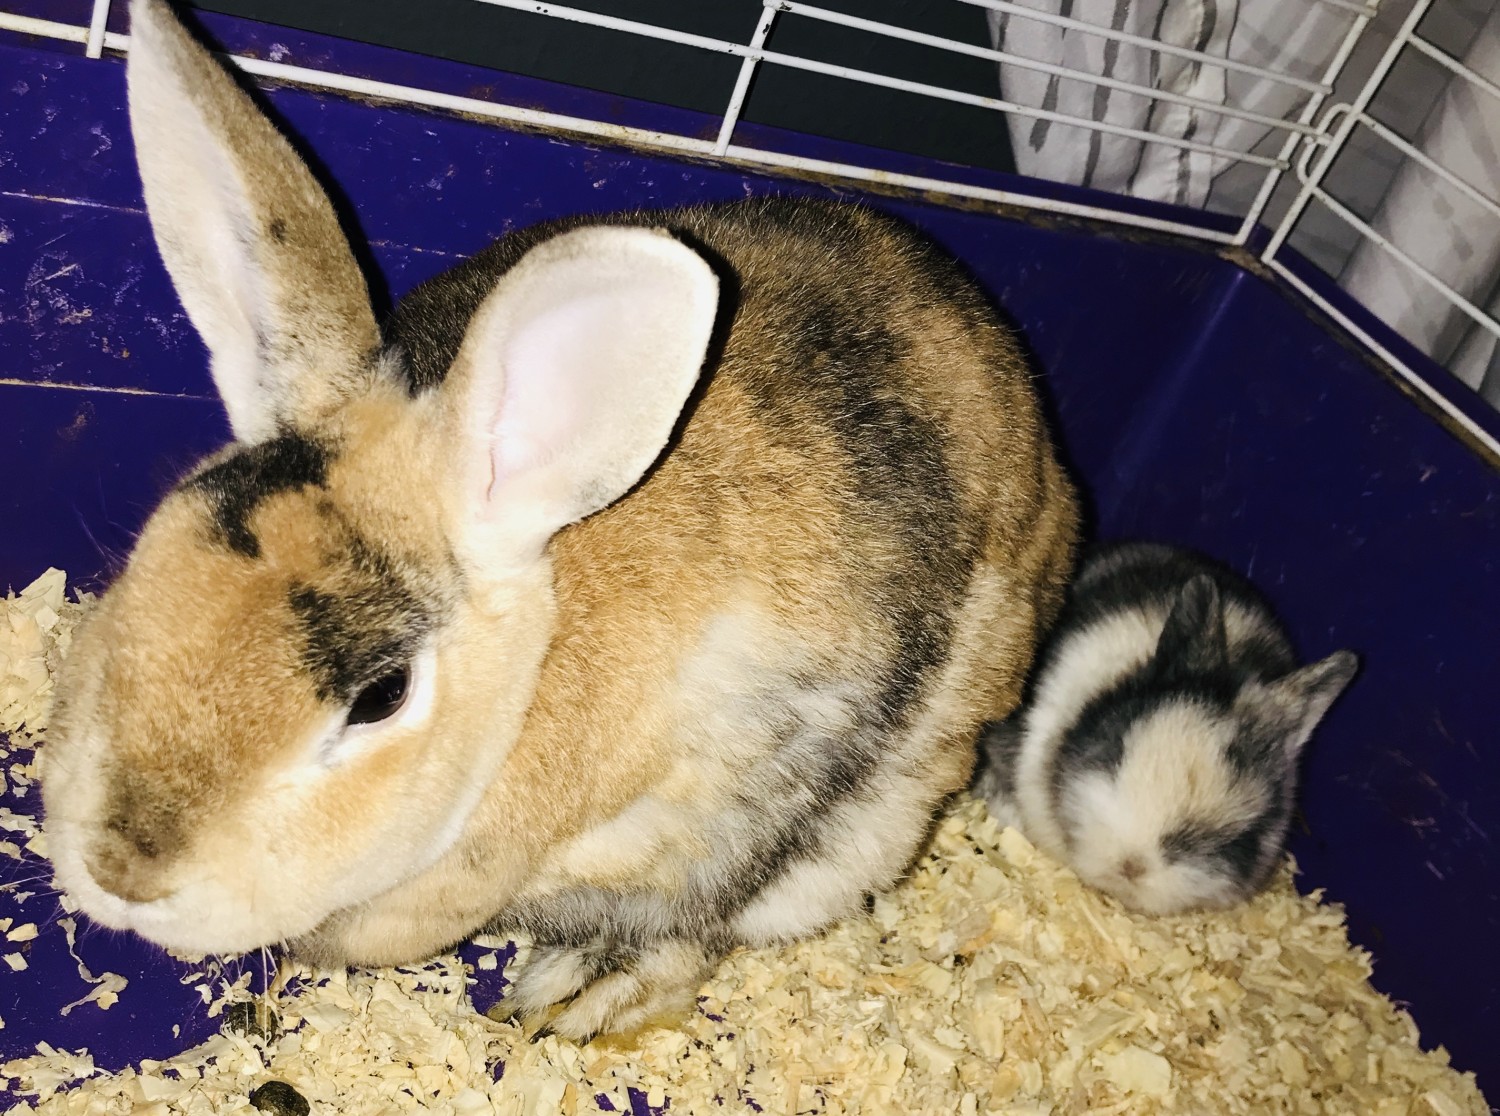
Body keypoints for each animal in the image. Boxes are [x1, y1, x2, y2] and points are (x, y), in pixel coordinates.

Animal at [39, 0, 1079, 1042]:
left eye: (382, 696)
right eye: (149, 563)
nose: (125, 872)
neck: (526, 687)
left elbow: (694, 924)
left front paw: (576, 999)